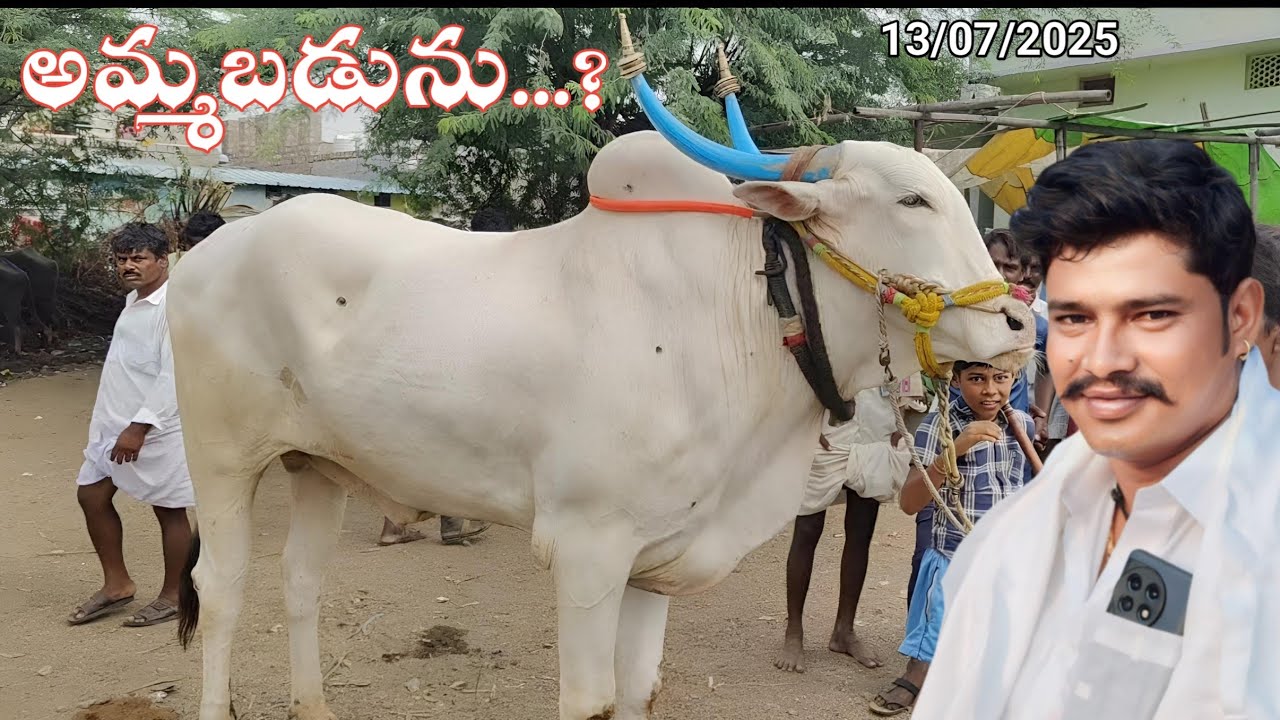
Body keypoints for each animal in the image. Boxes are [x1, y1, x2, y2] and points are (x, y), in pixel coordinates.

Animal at [168, 41, 1036, 720]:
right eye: (913, 199)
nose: (1017, 326)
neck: (740, 315)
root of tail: (208, 253)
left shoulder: (655, 557)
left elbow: (639, 693)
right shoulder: (586, 551)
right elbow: (588, 701)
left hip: (318, 464)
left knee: (300, 582)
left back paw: (313, 703)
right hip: (221, 460)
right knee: (222, 589)